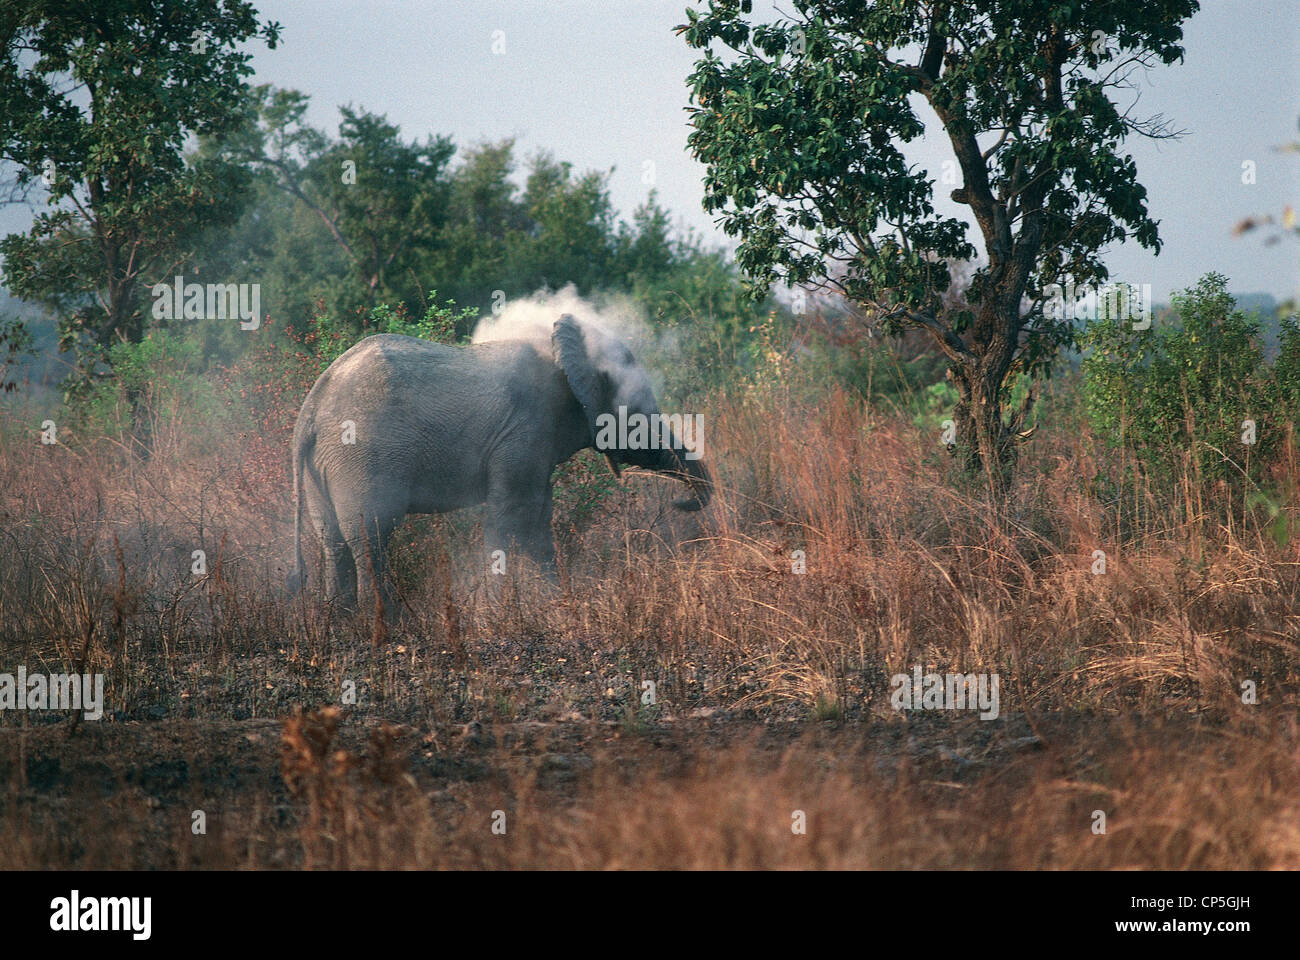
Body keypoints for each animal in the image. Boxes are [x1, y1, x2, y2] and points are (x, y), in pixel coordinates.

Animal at [286, 314, 712, 613]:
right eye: (638, 406)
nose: (680, 502)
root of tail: (311, 406)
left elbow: (539, 520)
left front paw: (555, 603)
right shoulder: (523, 431)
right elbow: (511, 516)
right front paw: (496, 609)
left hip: (323, 465)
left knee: (332, 539)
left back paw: (342, 621)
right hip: (361, 455)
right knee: (370, 533)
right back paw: (392, 622)